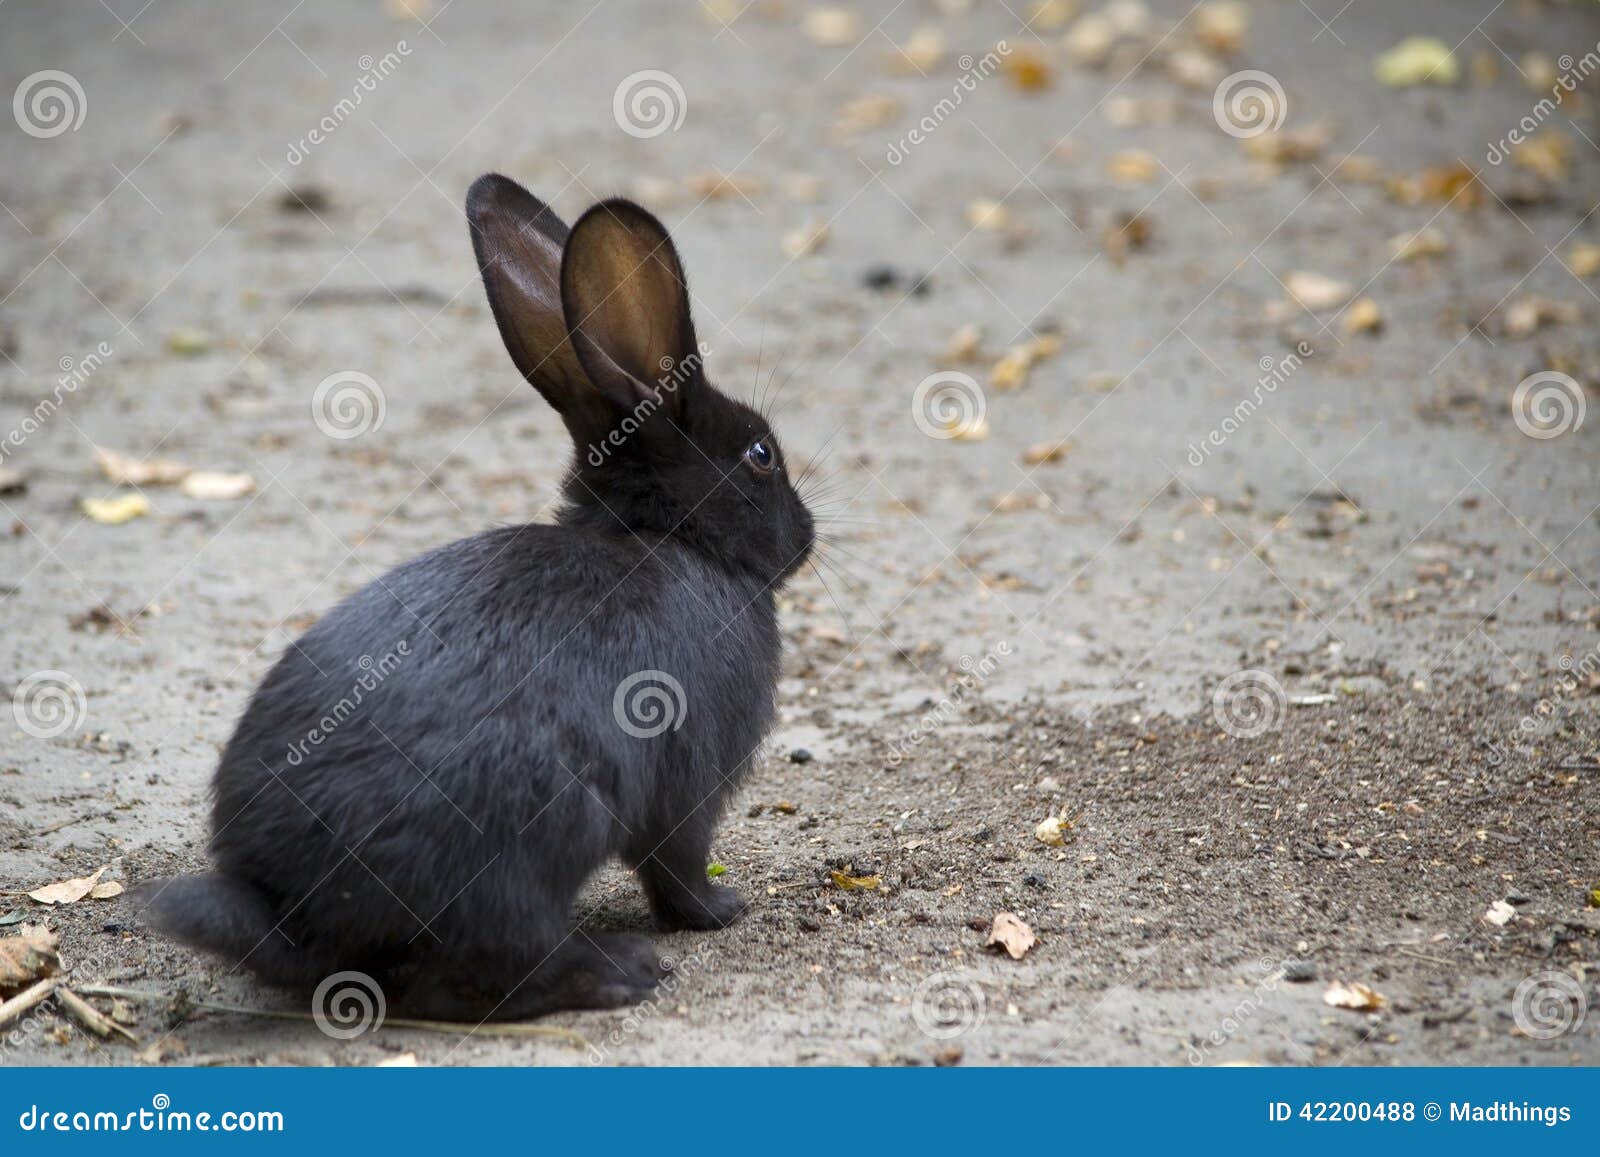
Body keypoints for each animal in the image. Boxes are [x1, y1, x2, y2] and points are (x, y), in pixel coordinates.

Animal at [137, 174, 815, 1021]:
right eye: (761, 454)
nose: (809, 534)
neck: (670, 536)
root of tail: (290, 912)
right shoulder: (689, 786)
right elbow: (678, 865)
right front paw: (723, 912)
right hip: (540, 835)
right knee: (483, 969)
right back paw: (621, 969)